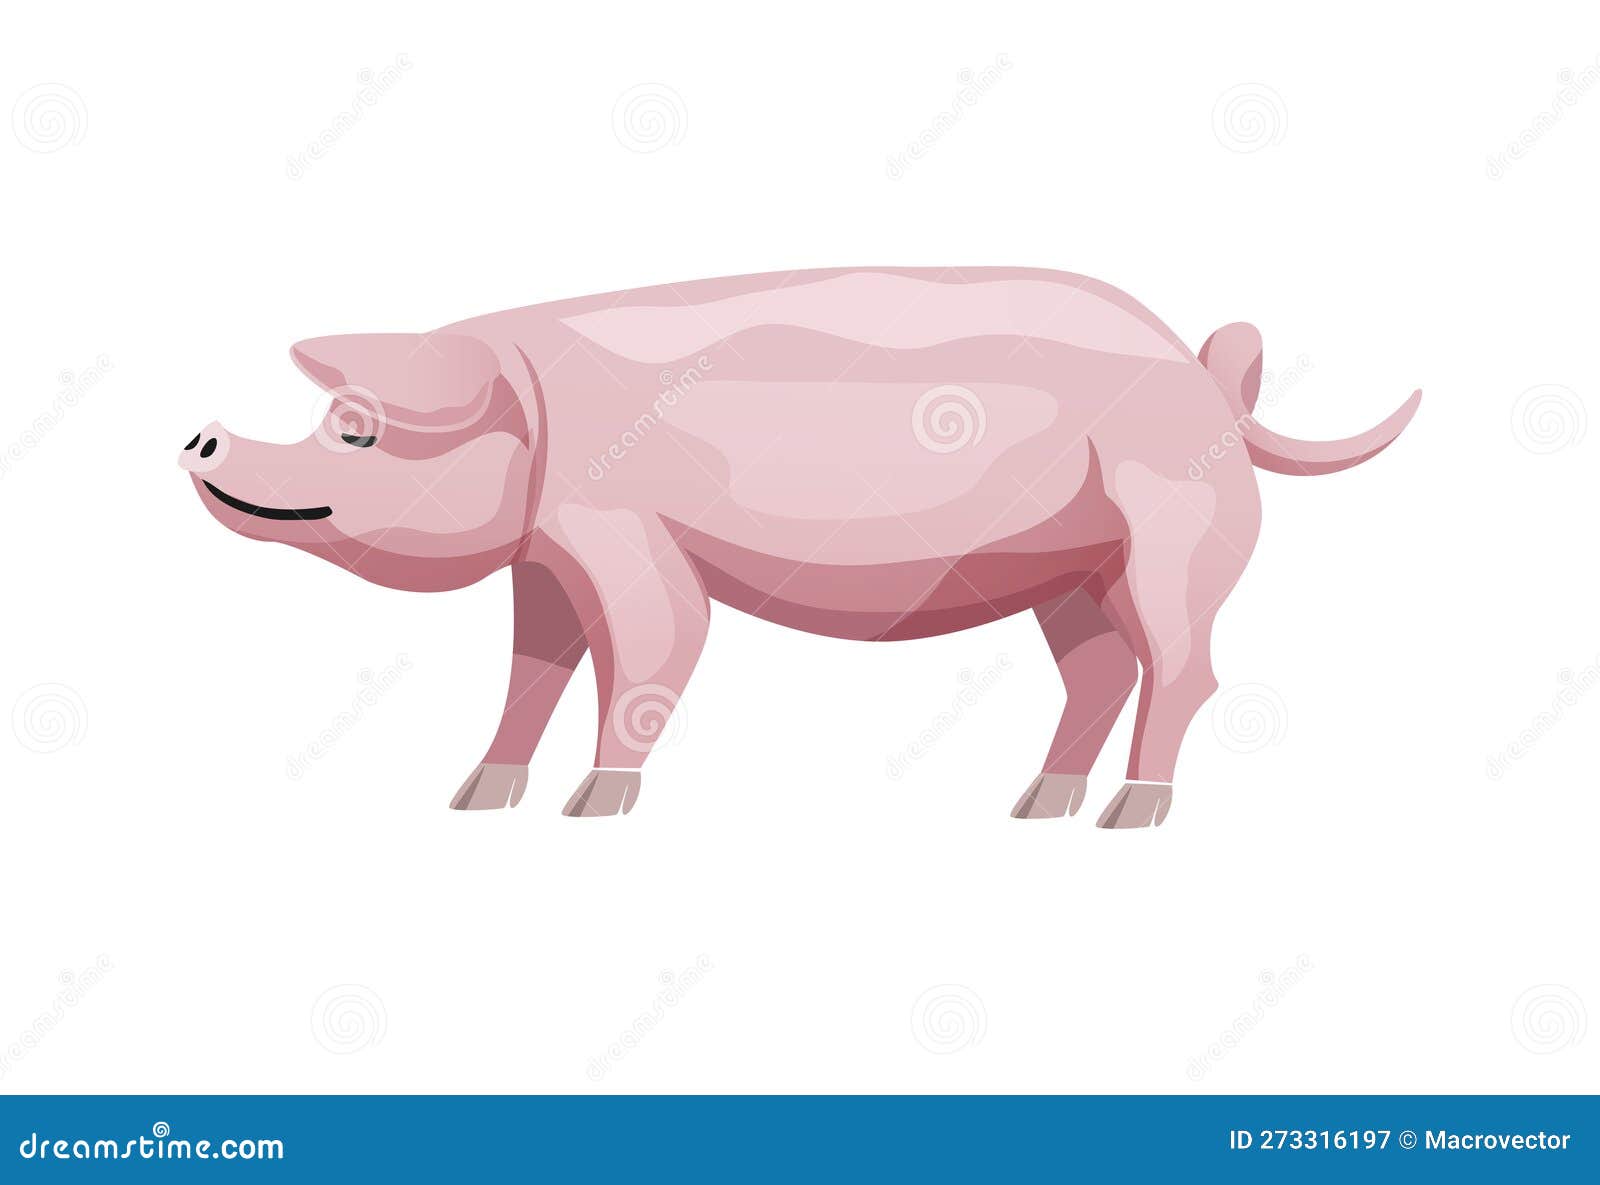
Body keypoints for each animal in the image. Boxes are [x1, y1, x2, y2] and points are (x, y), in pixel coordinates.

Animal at [180, 267, 1419, 827]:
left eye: (358, 429)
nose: (200, 432)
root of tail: (1206, 379)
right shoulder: (546, 559)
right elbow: (533, 668)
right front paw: (472, 803)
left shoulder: (620, 530)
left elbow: (654, 647)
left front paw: (595, 809)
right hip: (1069, 571)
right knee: (1100, 666)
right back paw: (1035, 807)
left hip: (1168, 530)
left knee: (1186, 664)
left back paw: (1131, 816)